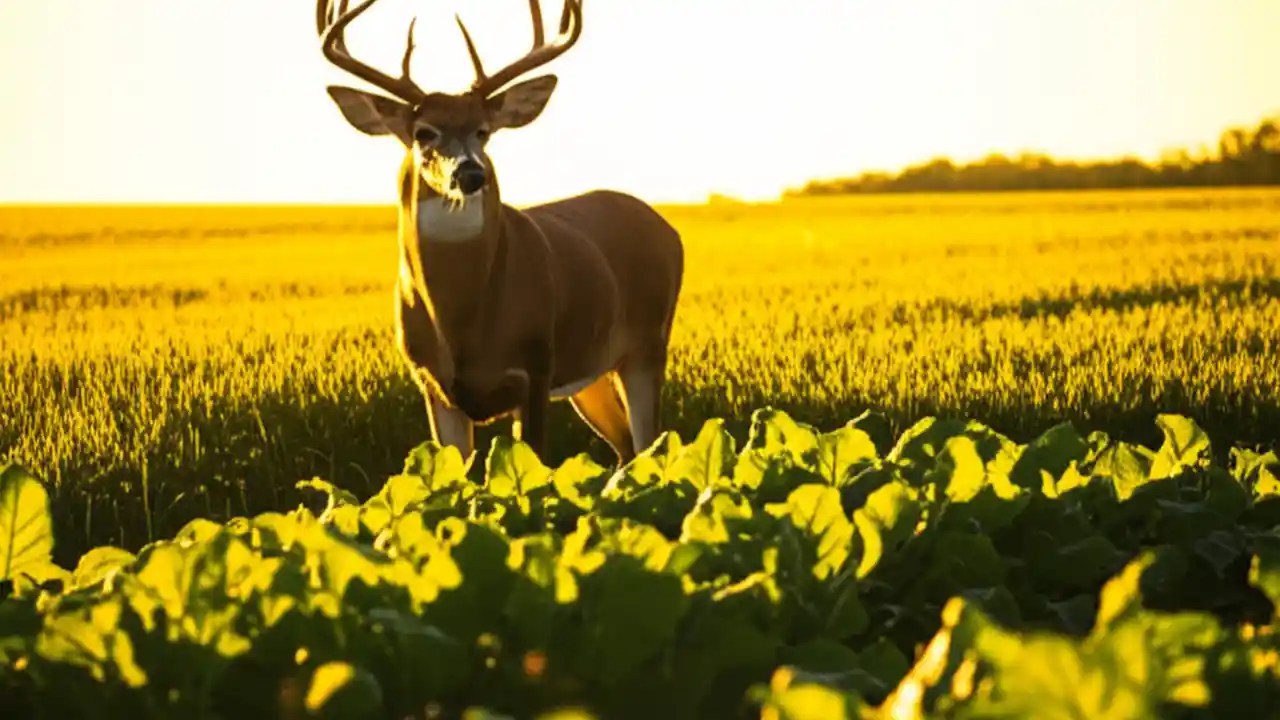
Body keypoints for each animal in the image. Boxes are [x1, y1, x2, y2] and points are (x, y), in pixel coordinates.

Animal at [314, 0, 684, 470]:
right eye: (423, 132)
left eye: (483, 131)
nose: (471, 173)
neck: (463, 327)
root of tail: (665, 225)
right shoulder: (431, 383)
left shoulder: (535, 366)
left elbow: (536, 464)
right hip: (591, 373)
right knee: (625, 450)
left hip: (647, 342)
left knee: (649, 442)